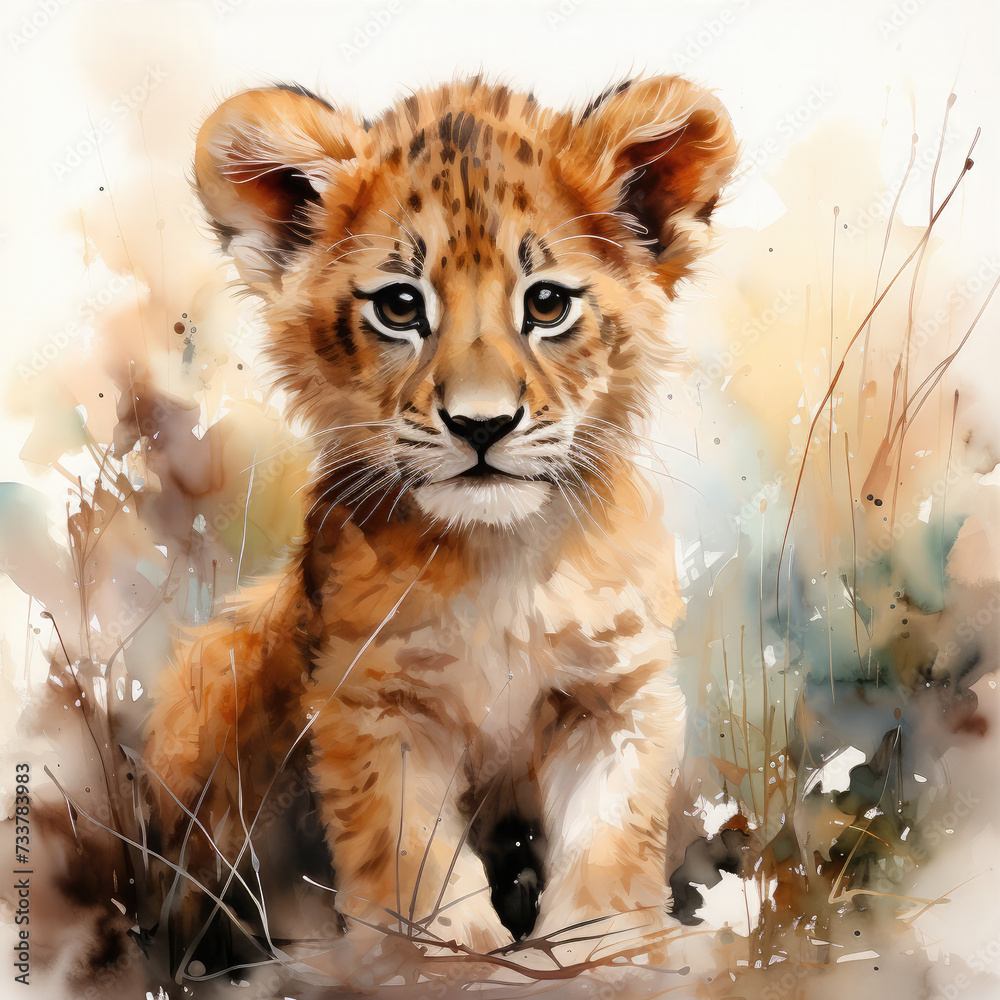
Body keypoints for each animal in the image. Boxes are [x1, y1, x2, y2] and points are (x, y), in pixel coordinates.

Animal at [143, 73, 737, 969]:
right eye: (399, 306)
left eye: (548, 304)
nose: (481, 425)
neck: (498, 555)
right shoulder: (370, 697)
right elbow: (408, 844)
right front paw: (441, 950)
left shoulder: (615, 691)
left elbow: (610, 834)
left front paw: (599, 945)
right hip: (213, 667)